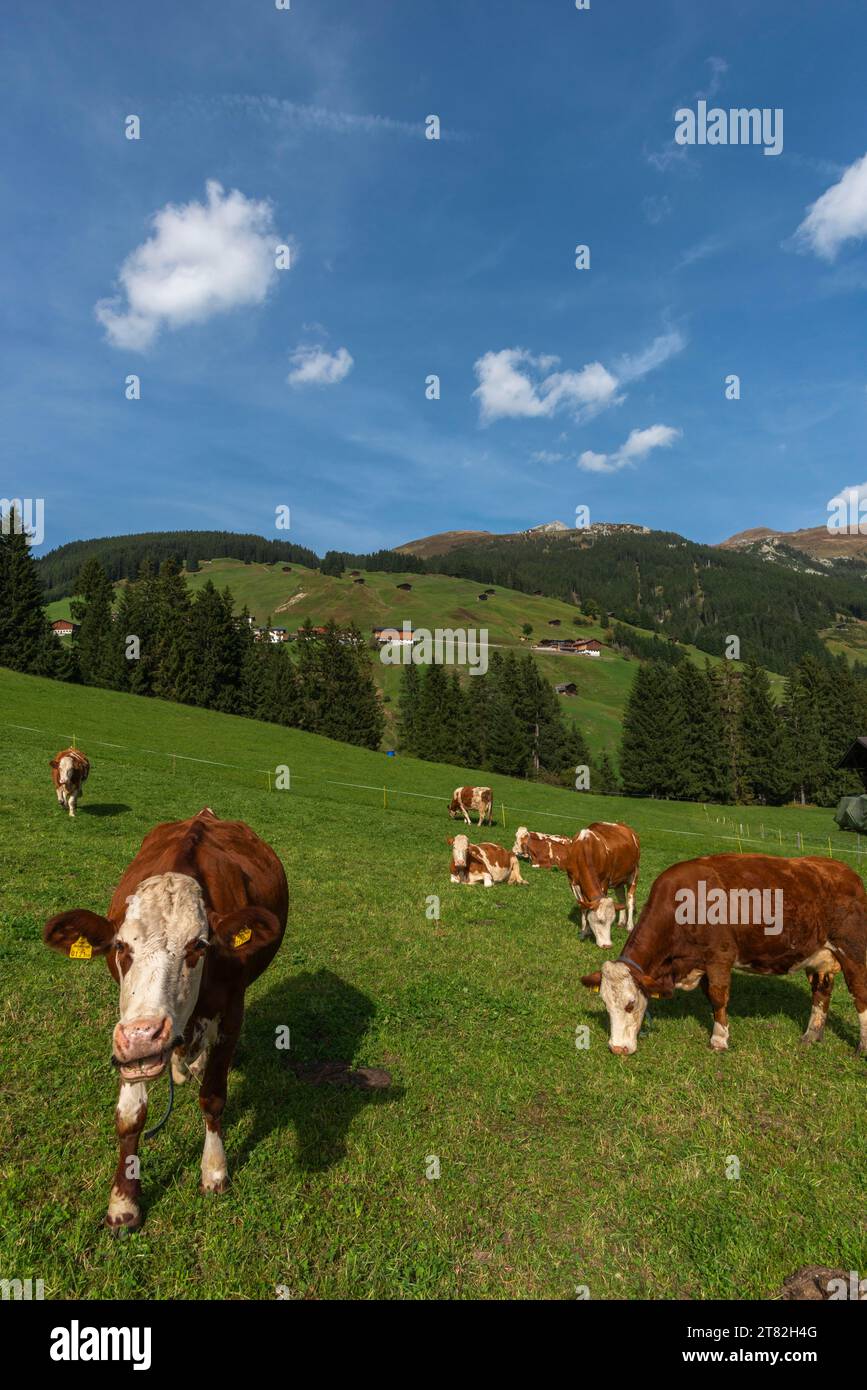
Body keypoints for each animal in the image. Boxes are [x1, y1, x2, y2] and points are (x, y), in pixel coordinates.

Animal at [42, 808, 287, 1232]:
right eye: (121, 946)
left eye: (198, 946)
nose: (146, 1035)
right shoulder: (128, 1028)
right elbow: (130, 1116)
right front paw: (123, 1201)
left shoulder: (231, 1015)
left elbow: (213, 1097)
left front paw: (214, 1170)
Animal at [581, 854, 867, 1057]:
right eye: (605, 1004)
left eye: (630, 1004)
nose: (617, 1048)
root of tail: (844, 871)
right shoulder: (700, 962)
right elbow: (710, 997)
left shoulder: (719, 958)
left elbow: (719, 997)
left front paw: (719, 1039)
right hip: (820, 957)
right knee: (821, 994)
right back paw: (812, 1035)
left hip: (853, 952)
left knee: (860, 995)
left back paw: (862, 1047)